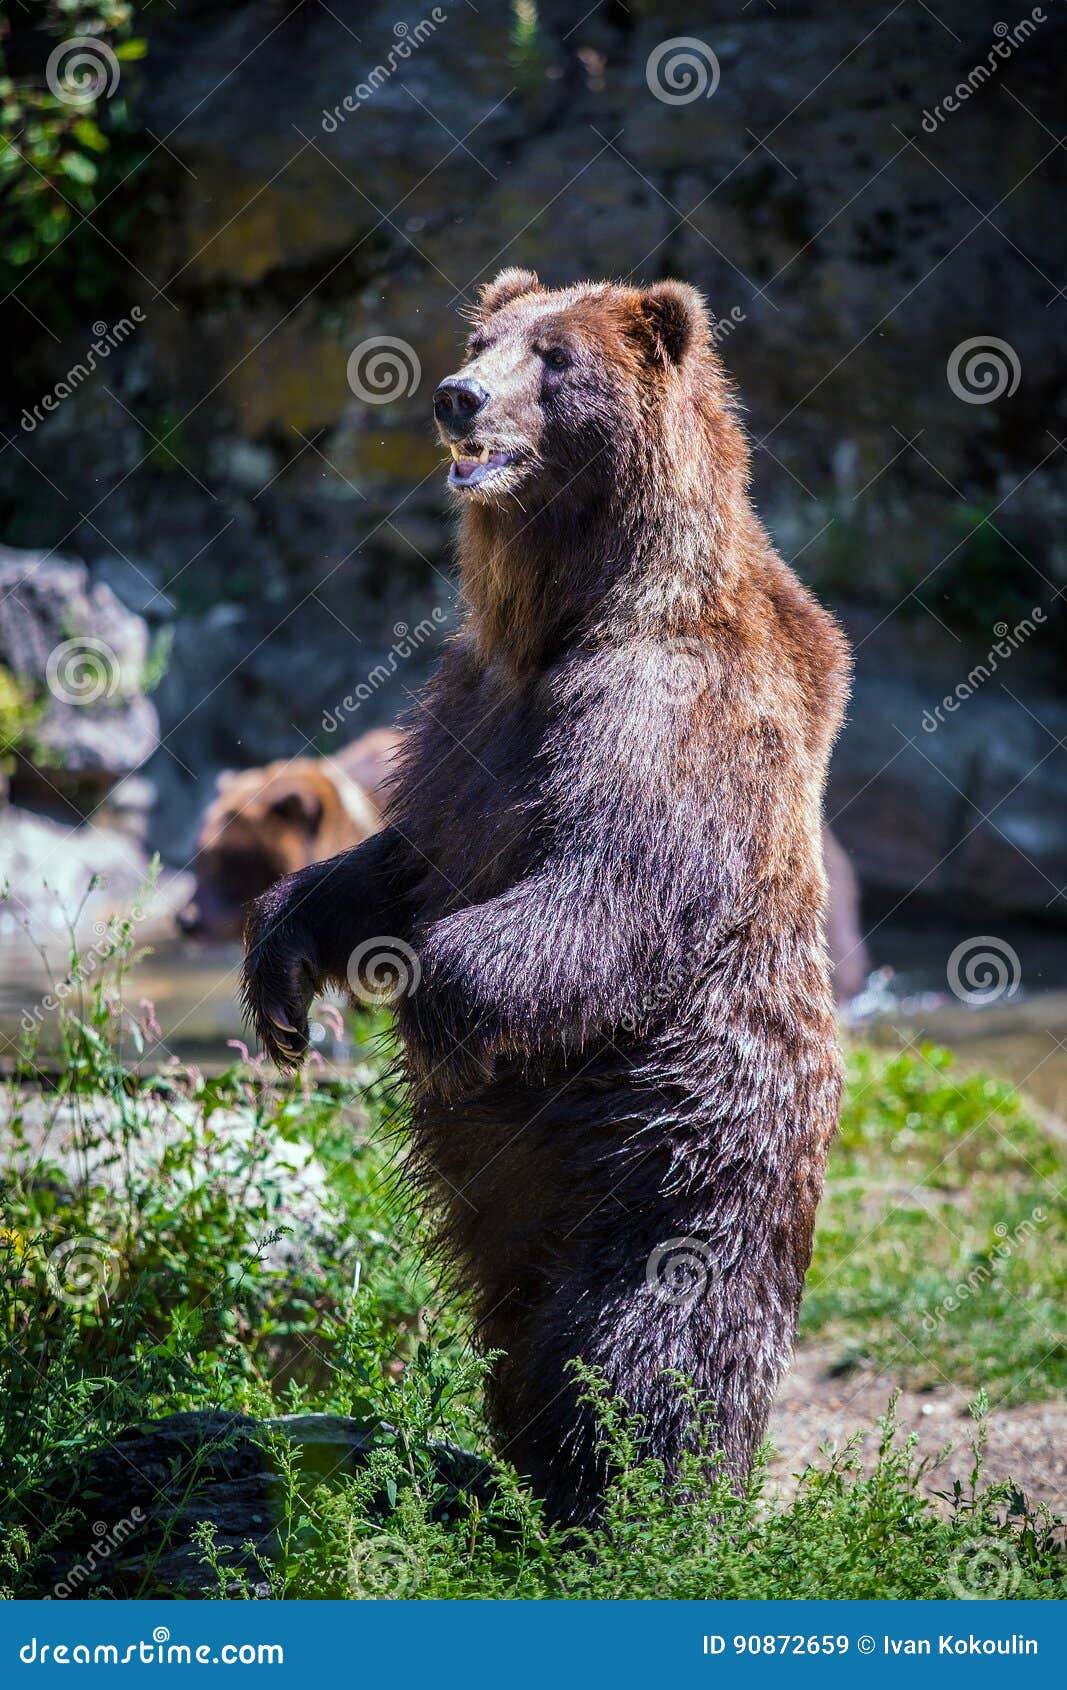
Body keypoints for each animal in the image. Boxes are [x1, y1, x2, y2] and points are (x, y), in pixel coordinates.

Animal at [242, 269, 851, 1526]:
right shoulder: (465, 715)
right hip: (528, 1211)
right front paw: (281, 967)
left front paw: (434, 1014)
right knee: (516, 1330)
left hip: (681, 1157)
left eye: (555, 357)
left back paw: (635, 1508)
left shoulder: (668, 711)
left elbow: (602, 888)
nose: (456, 396)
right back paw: (509, 1483)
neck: (565, 608)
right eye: (485, 338)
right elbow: (402, 859)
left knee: (643, 1339)